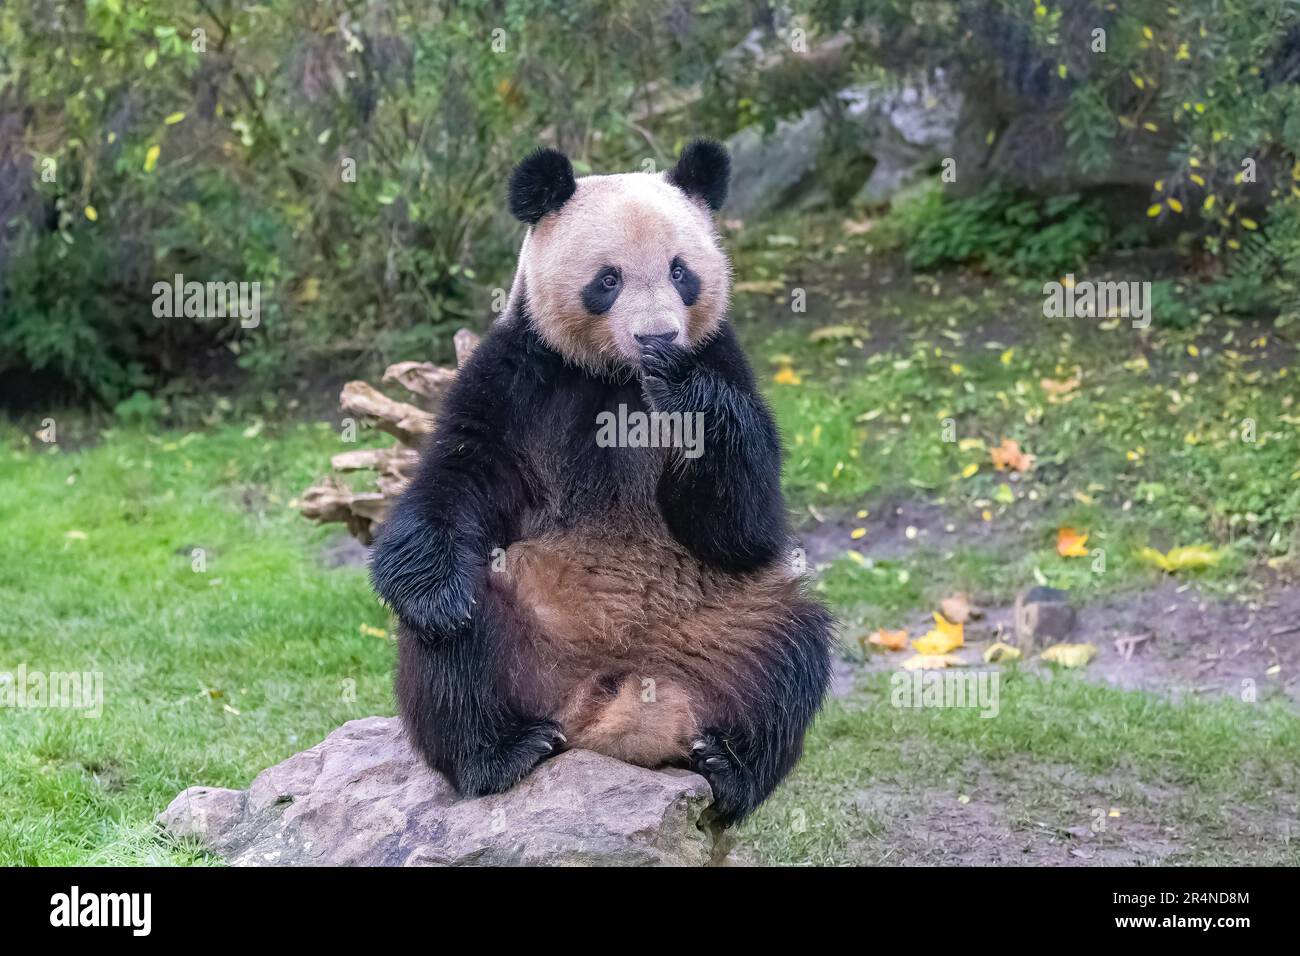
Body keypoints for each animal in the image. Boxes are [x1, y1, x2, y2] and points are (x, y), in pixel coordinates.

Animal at [370, 140, 833, 826]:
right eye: (607, 280)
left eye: (680, 272)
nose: (657, 337)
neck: (619, 377)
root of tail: (613, 705)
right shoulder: (518, 375)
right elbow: (456, 478)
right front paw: (435, 595)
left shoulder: (727, 362)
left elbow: (744, 526)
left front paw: (683, 389)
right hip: (527, 638)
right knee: (454, 656)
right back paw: (503, 752)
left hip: (728, 625)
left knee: (791, 649)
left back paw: (728, 767)